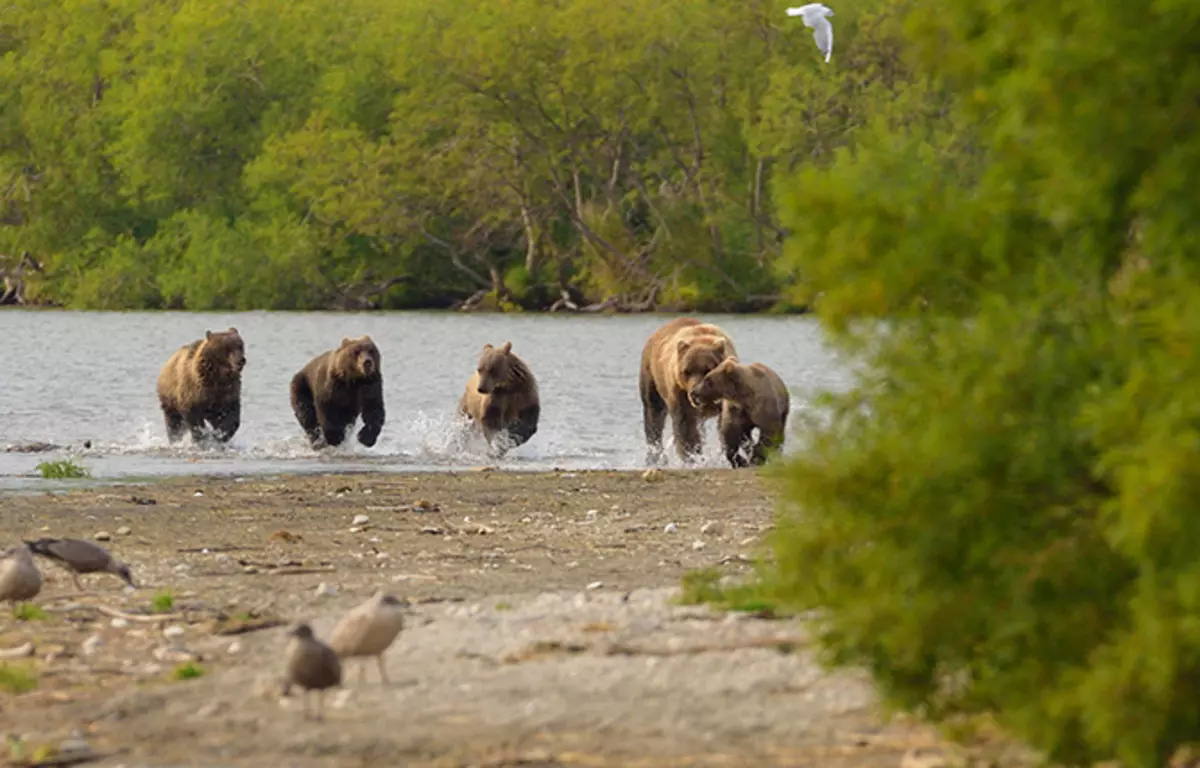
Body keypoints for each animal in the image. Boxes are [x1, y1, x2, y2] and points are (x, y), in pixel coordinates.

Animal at [638, 316, 739, 465]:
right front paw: (693, 456)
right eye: (686, 371)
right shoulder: (679, 393)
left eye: (708, 369)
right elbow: (685, 426)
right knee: (653, 413)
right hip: (651, 375)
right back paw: (655, 456)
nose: (694, 394)